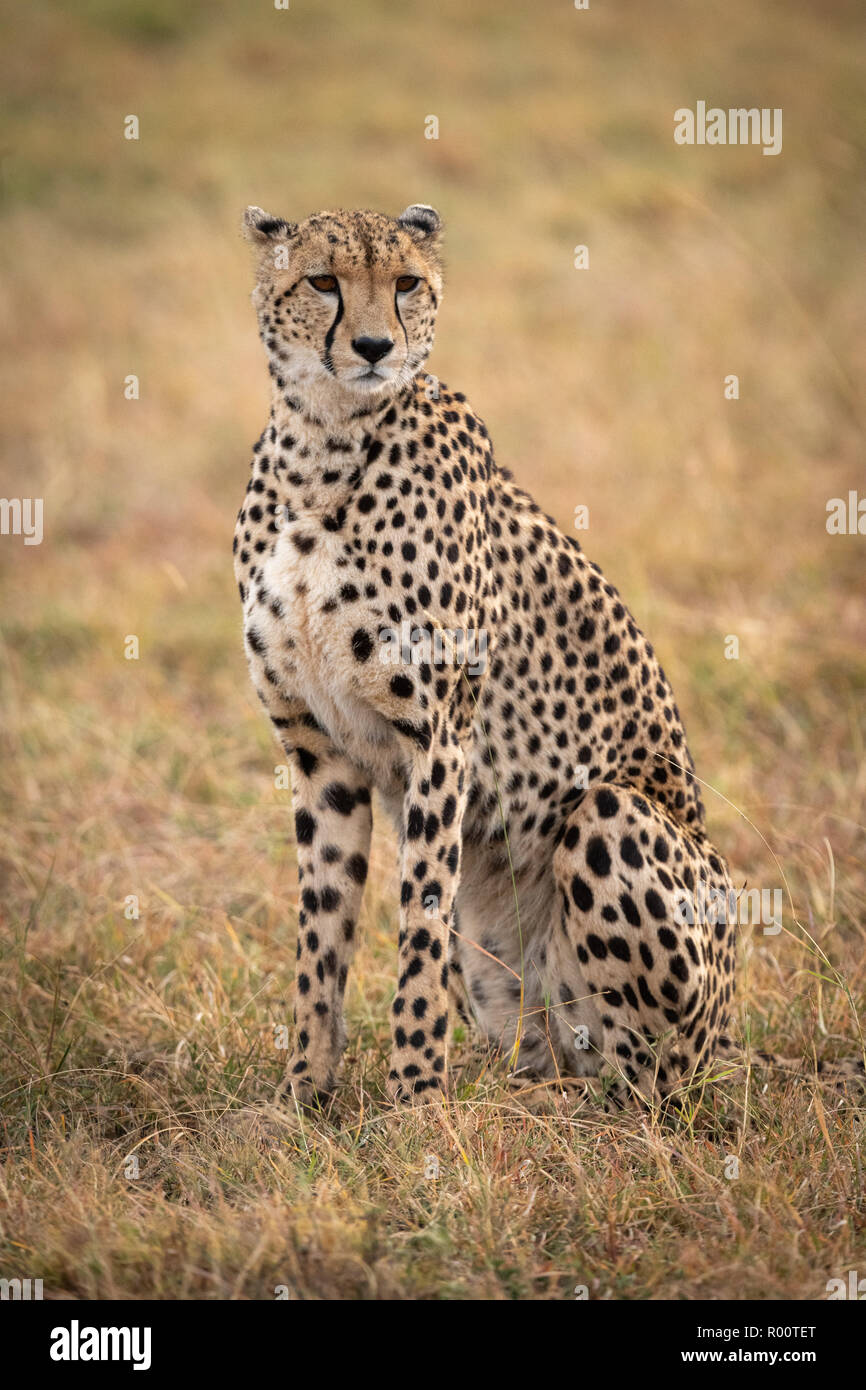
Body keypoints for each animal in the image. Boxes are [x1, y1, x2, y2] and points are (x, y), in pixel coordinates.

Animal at [234, 201, 864, 1110]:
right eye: (322, 280)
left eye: (406, 283)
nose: (375, 347)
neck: (324, 447)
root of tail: (730, 1042)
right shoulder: (318, 750)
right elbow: (321, 934)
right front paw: (303, 1094)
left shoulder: (441, 737)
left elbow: (417, 922)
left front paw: (415, 1097)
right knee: (550, 1047)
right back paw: (529, 1093)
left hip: (613, 822)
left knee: (646, 1082)